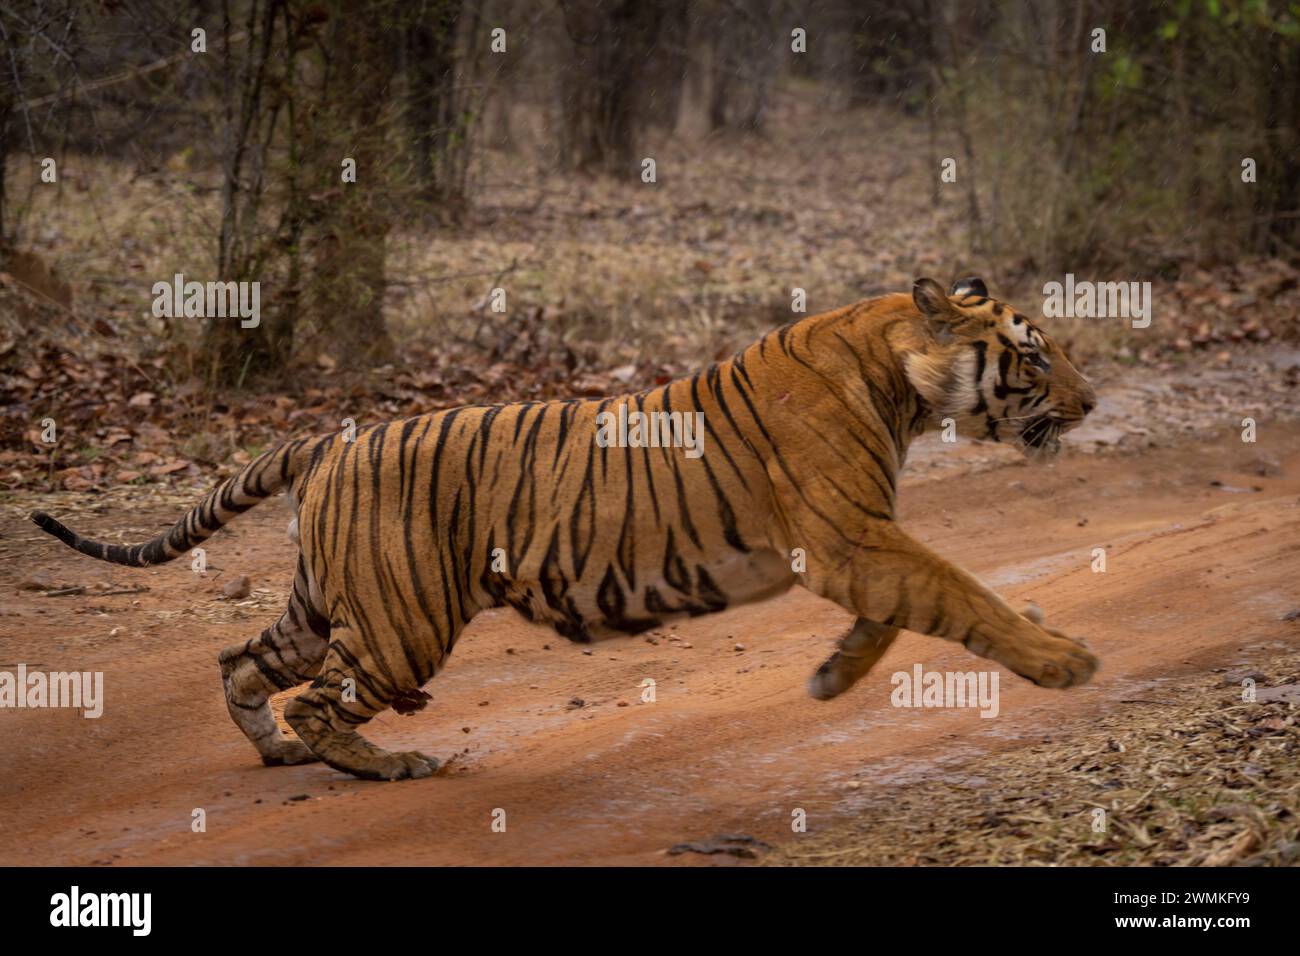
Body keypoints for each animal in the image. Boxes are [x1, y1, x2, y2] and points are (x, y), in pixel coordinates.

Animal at [31, 276, 1100, 781]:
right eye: (1036, 356)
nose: (1093, 401)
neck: (900, 379)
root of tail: (331, 438)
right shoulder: (854, 539)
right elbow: (963, 592)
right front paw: (1064, 661)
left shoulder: (859, 547)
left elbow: (898, 613)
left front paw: (835, 675)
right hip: (402, 620)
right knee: (318, 701)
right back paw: (389, 764)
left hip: (324, 603)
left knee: (240, 664)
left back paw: (279, 754)